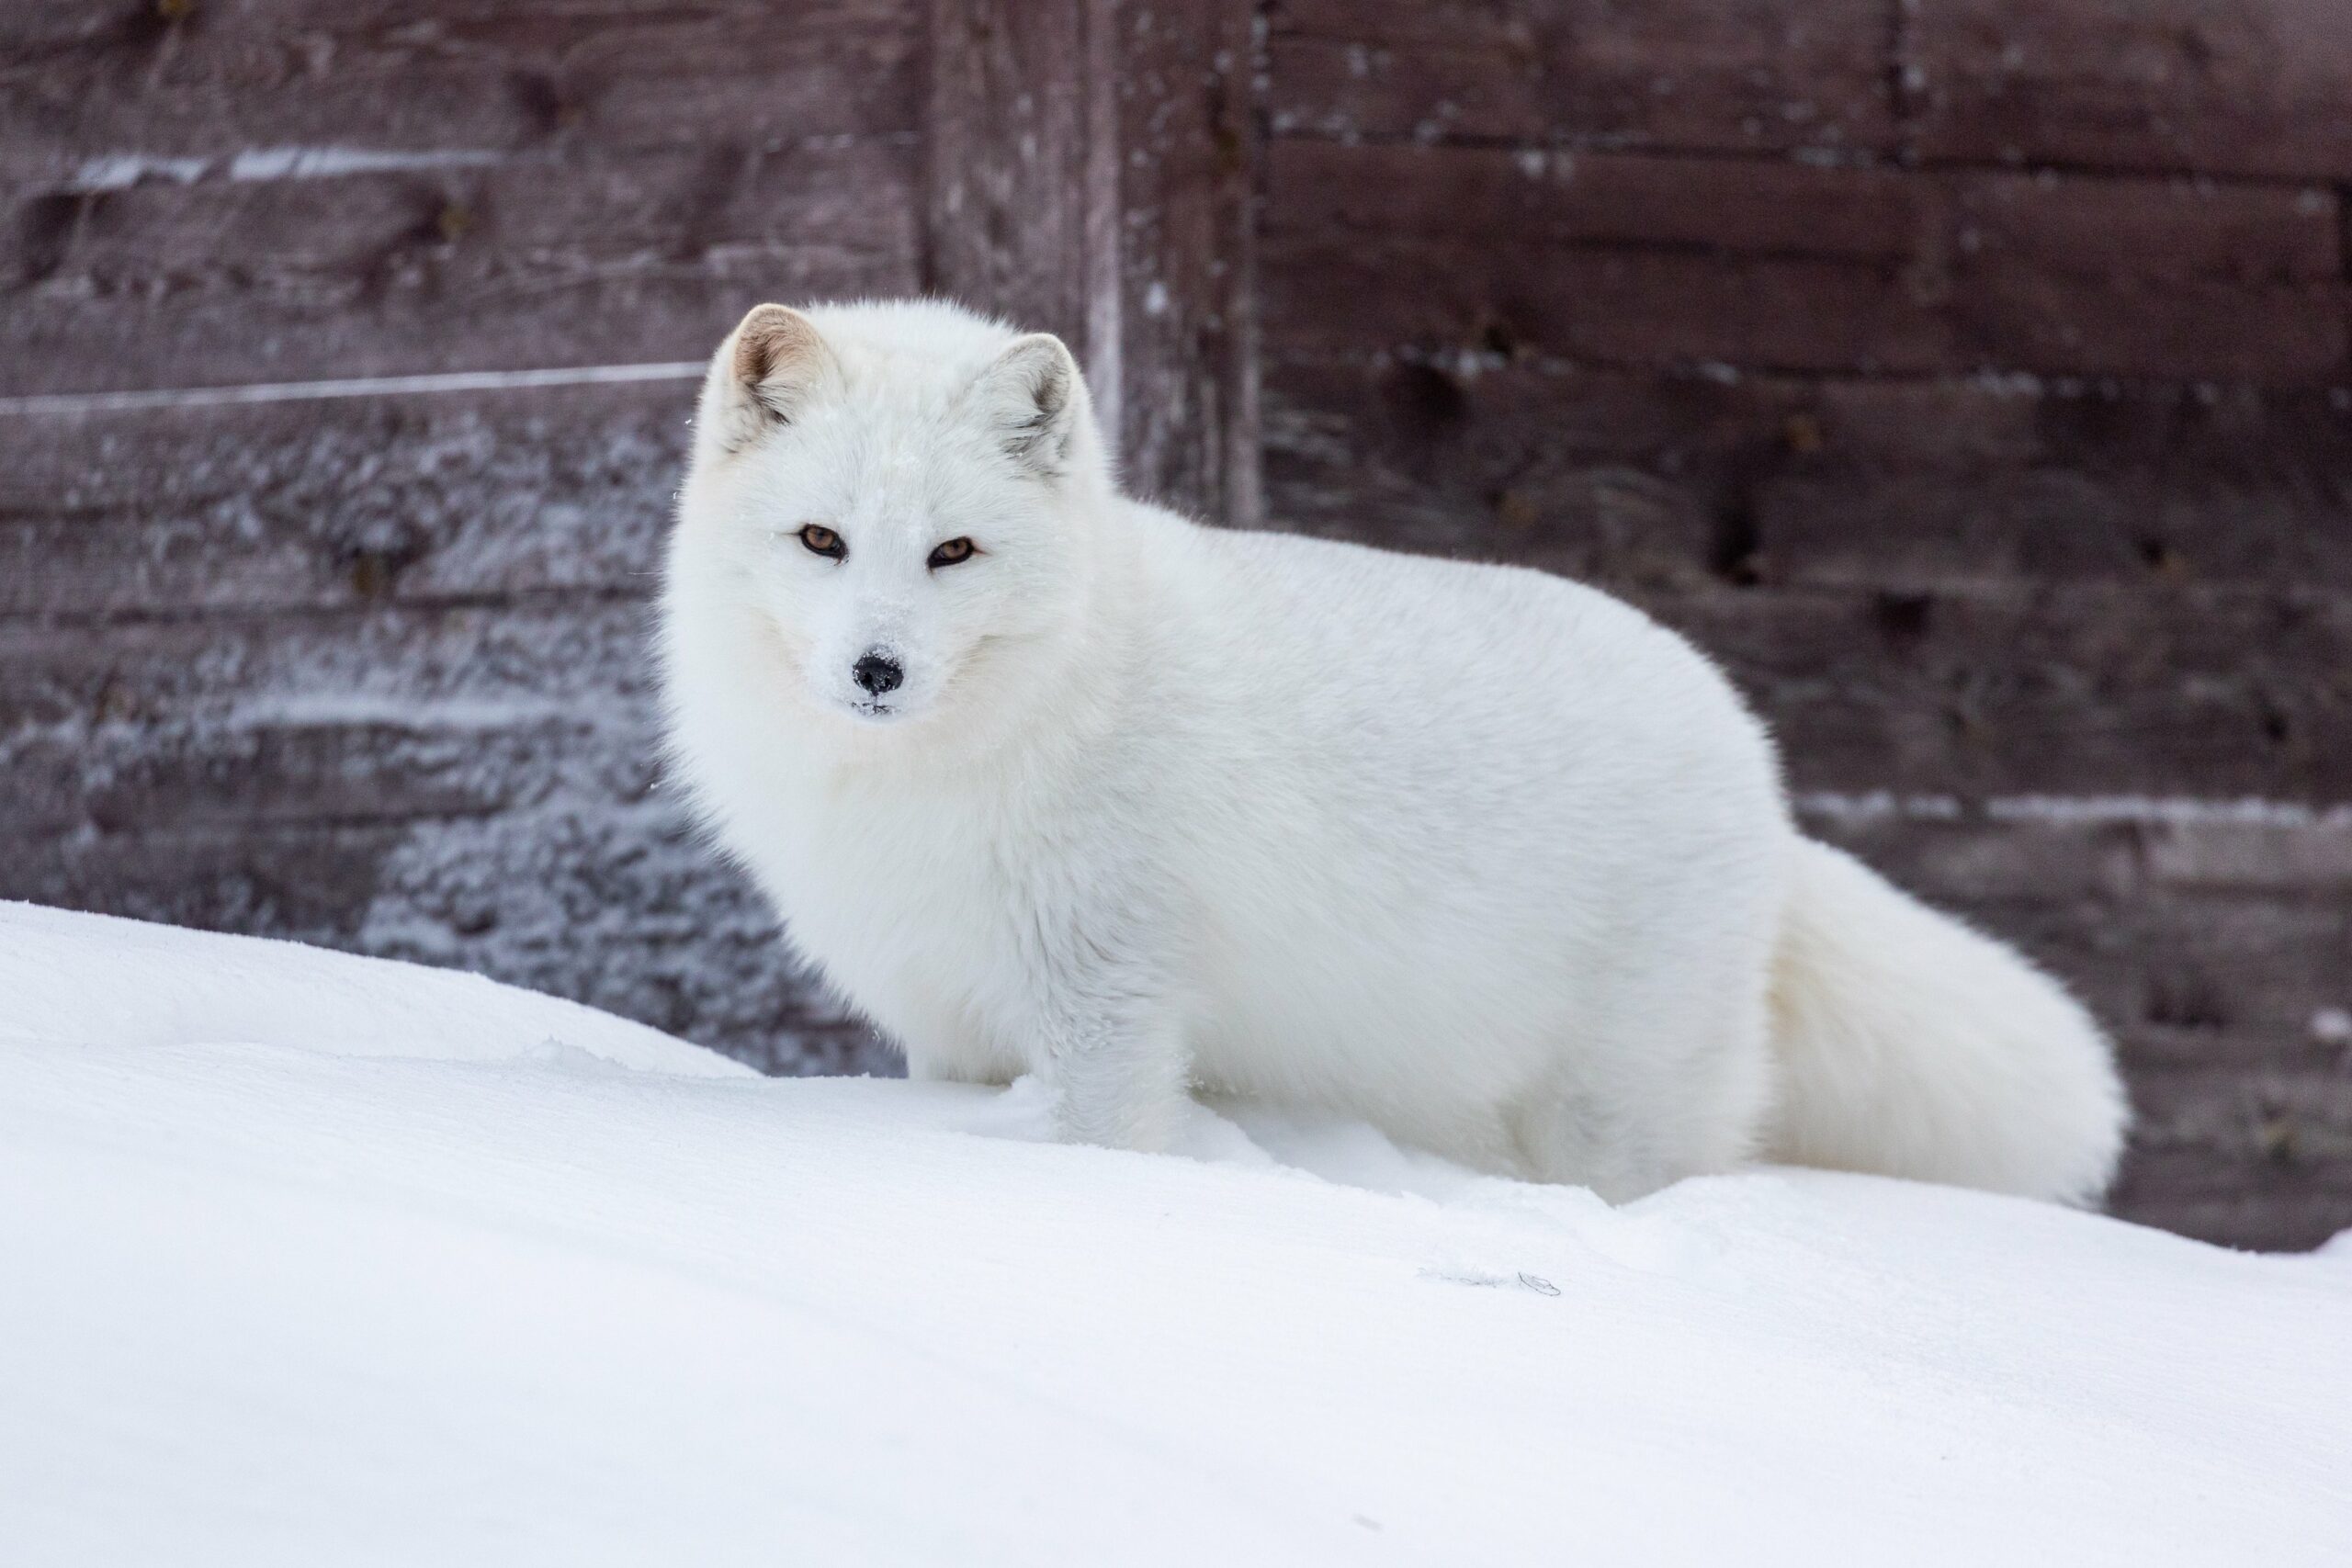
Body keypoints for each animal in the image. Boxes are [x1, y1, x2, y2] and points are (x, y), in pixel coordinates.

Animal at [658, 298, 2128, 1205]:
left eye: (954, 552)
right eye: (822, 541)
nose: (877, 671)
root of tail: (1759, 768)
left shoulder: (1110, 1000)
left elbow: (1099, 1142)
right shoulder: (953, 1024)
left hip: (1611, 1107)